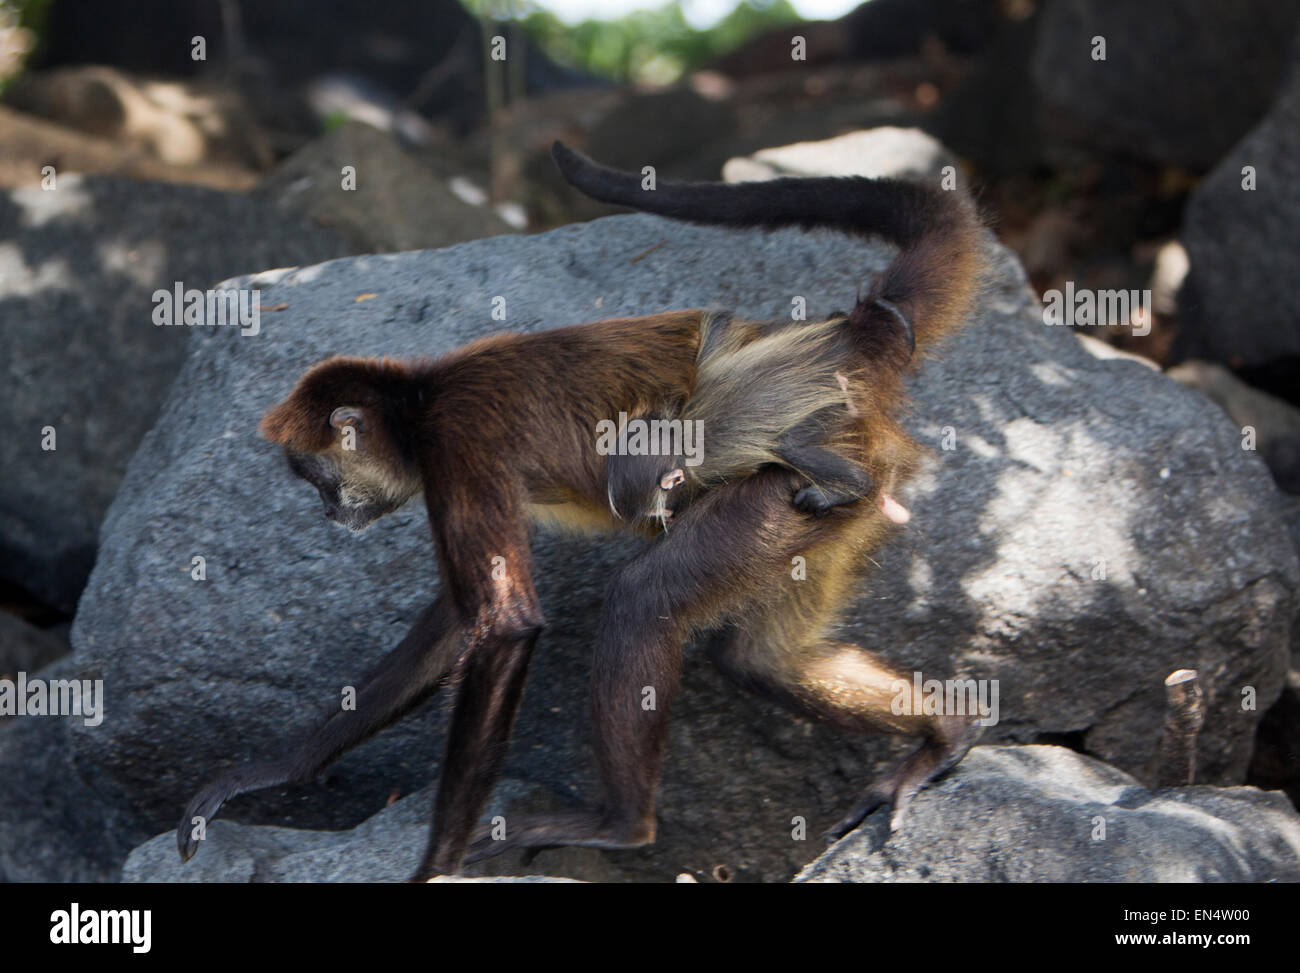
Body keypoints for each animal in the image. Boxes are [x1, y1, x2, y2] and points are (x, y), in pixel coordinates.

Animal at [177, 140, 986, 880]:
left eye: (316, 477)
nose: (326, 514)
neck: (422, 398)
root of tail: (847, 343)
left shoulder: (456, 441)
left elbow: (503, 626)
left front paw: (434, 861)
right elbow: (458, 623)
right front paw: (275, 769)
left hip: (788, 476)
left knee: (646, 595)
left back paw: (622, 824)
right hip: (835, 503)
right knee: (762, 658)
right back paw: (948, 731)